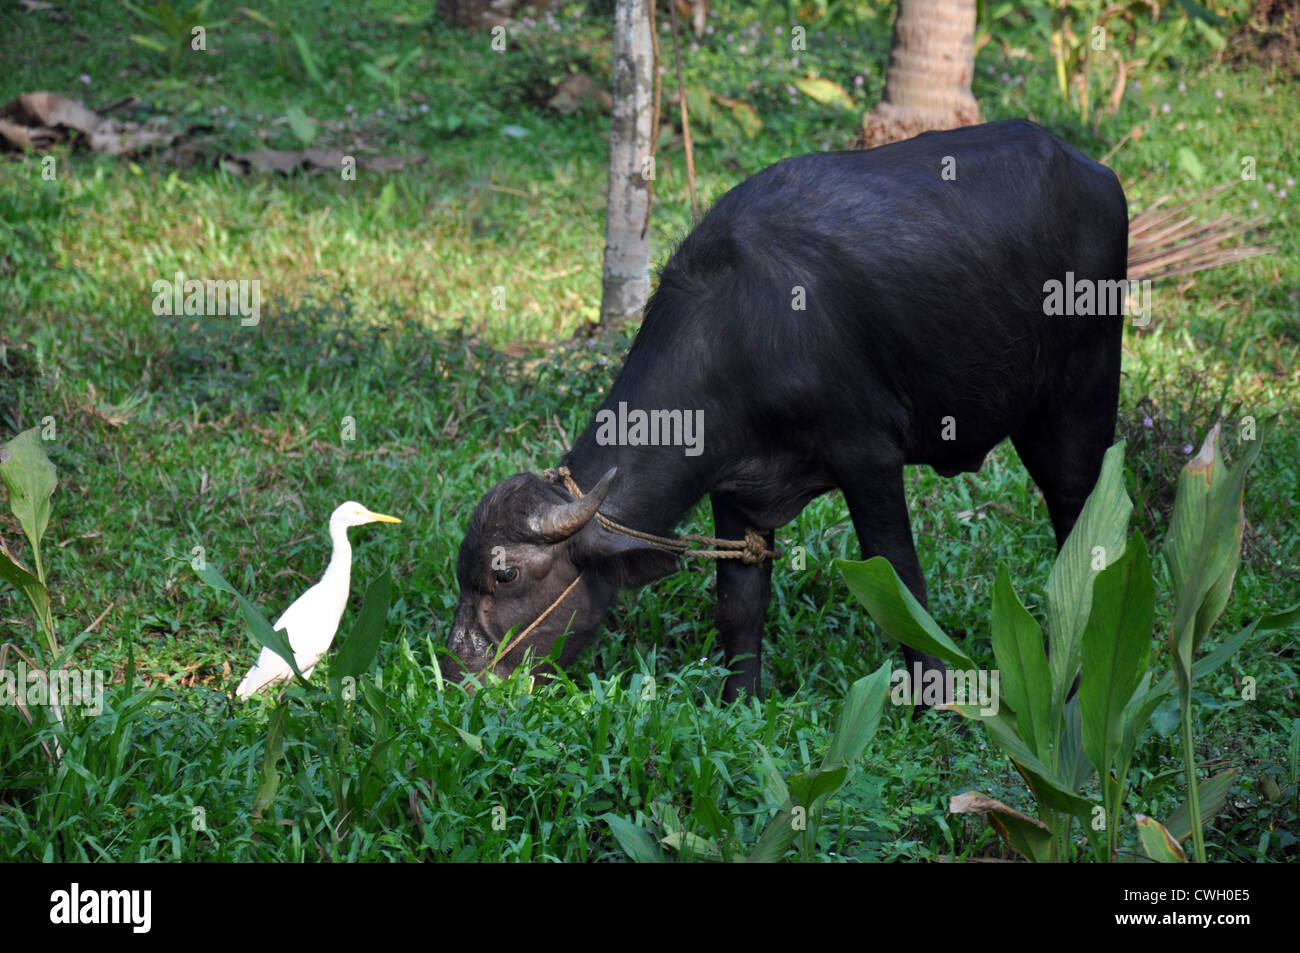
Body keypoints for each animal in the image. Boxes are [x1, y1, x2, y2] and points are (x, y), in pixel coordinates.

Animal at [447, 119, 1129, 704]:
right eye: (463, 574)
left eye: (505, 576)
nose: (458, 677)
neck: (742, 329)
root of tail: (1093, 172)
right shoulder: (734, 488)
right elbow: (739, 604)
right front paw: (739, 700)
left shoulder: (867, 455)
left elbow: (899, 579)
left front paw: (934, 703)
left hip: (1082, 391)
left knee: (1078, 514)